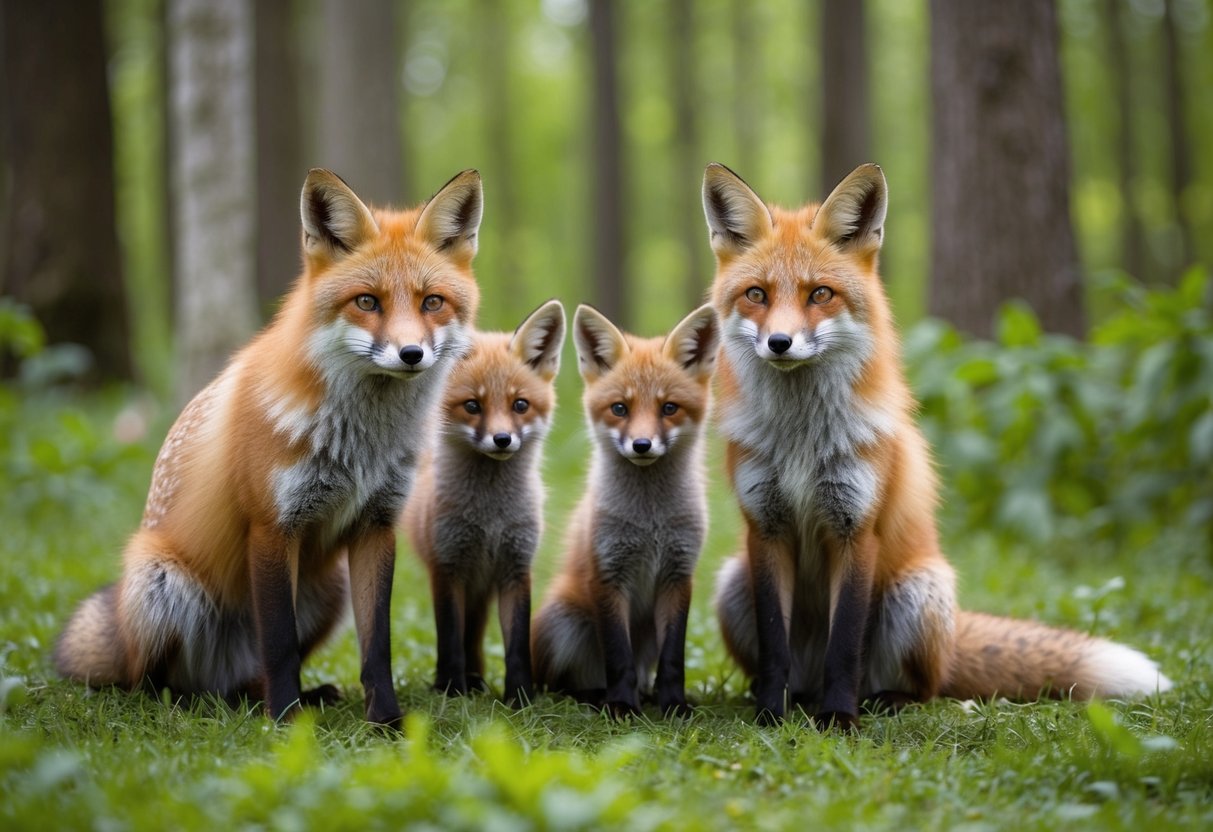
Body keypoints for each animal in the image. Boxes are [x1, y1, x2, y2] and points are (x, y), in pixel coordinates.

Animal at [54, 168, 485, 726]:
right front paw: (284, 723)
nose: (411, 354)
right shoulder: (271, 526)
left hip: (329, 589)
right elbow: (279, 643)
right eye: (367, 301)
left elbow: (377, 645)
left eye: (432, 302)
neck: (359, 444)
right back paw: (210, 704)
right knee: (150, 682)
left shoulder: (376, 525)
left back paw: (279, 697)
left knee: (245, 679)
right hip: (161, 584)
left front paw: (386, 723)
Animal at [401, 299, 566, 706]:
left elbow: (517, 645)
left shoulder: (516, 568)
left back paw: (477, 681)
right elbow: (449, 641)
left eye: (520, 404)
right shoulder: (447, 567)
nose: (502, 439)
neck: (490, 519)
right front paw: (451, 692)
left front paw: (520, 698)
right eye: (472, 406)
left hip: (482, 589)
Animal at [531, 303, 719, 717]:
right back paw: (594, 696)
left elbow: (673, 659)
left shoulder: (678, 574)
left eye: (669, 408)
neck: (650, 522)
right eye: (620, 408)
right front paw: (620, 706)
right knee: (559, 684)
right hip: (565, 619)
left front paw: (673, 706)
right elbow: (619, 655)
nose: (642, 445)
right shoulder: (608, 572)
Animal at [702, 162, 1173, 729]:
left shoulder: (857, 527)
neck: (801, 439)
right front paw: (772, 714)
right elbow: (775, 645)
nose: (779, 343)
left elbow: (845, 645)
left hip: (919, 593)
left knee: (920, 688)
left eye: (819, 294)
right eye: (757, 295)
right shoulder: (765, 529)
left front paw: (839, 720)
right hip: (733, 583)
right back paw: (790, 700)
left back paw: (877, 701)